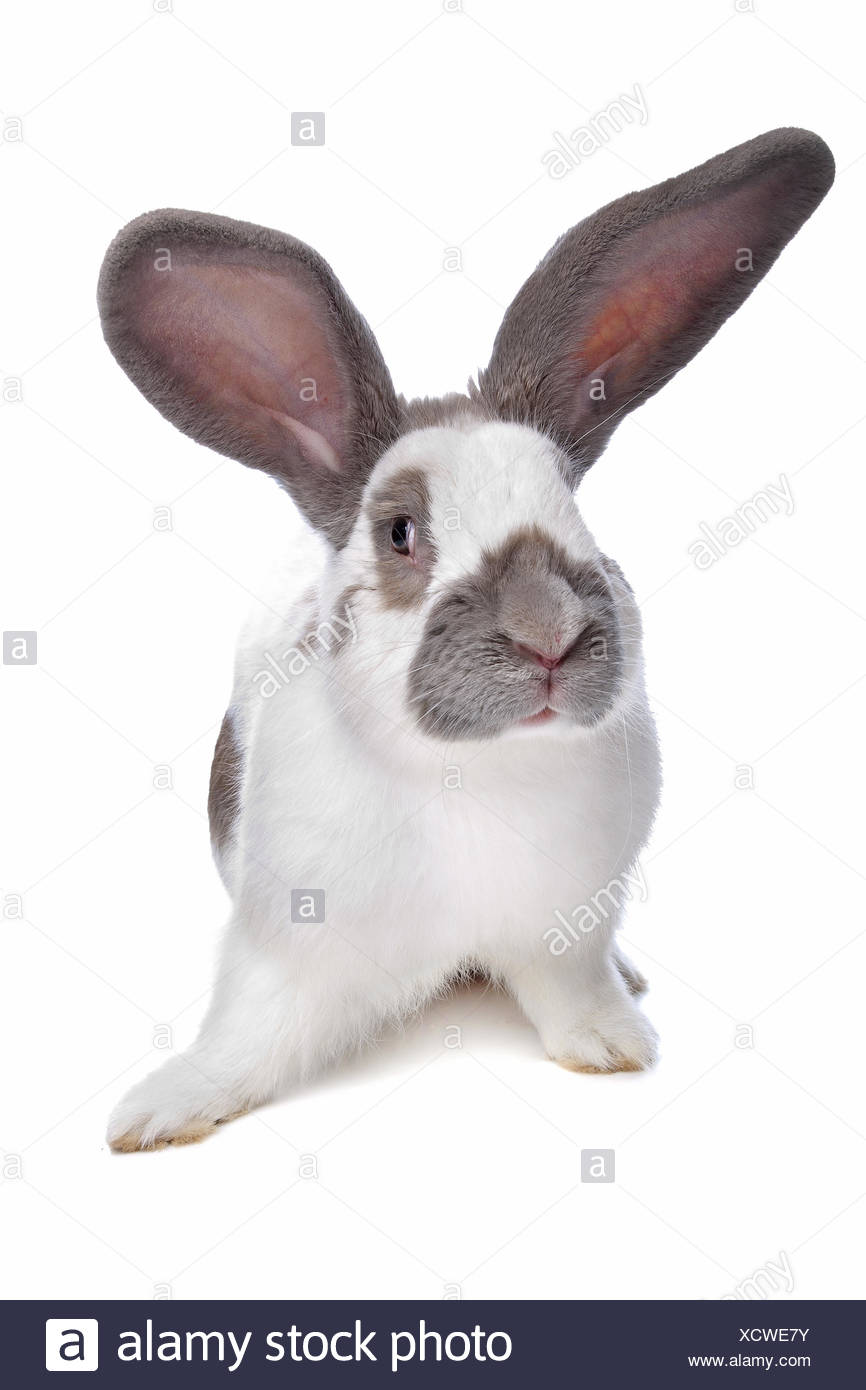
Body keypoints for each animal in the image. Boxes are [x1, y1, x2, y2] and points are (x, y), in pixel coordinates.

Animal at [99, 128, 833, 1150]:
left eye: (572, 507)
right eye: (402, 533)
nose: (548, 634)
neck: (475, 777)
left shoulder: (566, 935)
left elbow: (572, 990)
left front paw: (613, 1043)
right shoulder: (282, 950)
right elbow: (245, 1037)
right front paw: (164, 1108)